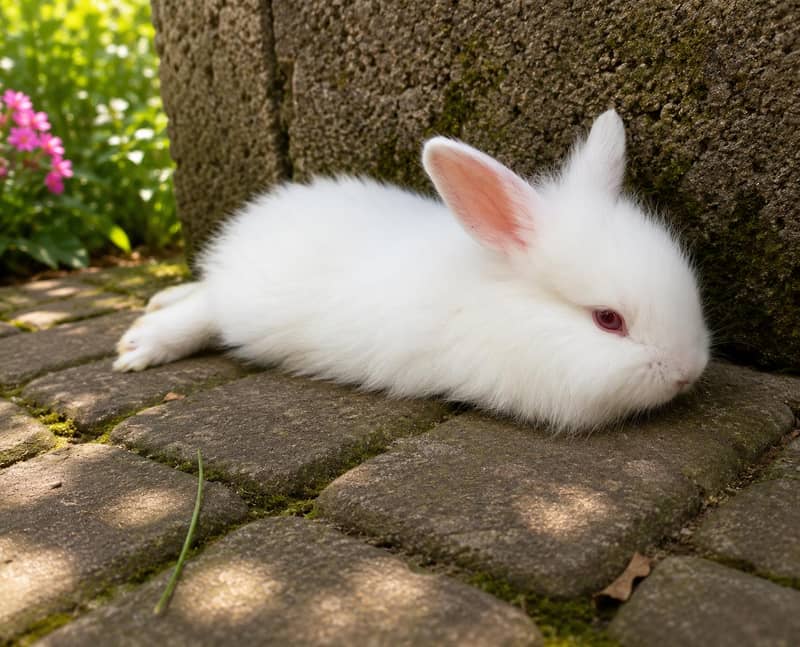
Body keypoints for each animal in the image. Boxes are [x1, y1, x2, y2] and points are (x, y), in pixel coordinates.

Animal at [114, 110, 710, 432]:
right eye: (608, 320)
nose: (688, 372)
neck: (505, 306)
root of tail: (243, 234)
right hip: (246, 305)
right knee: (206, 312)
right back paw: (139, 346)